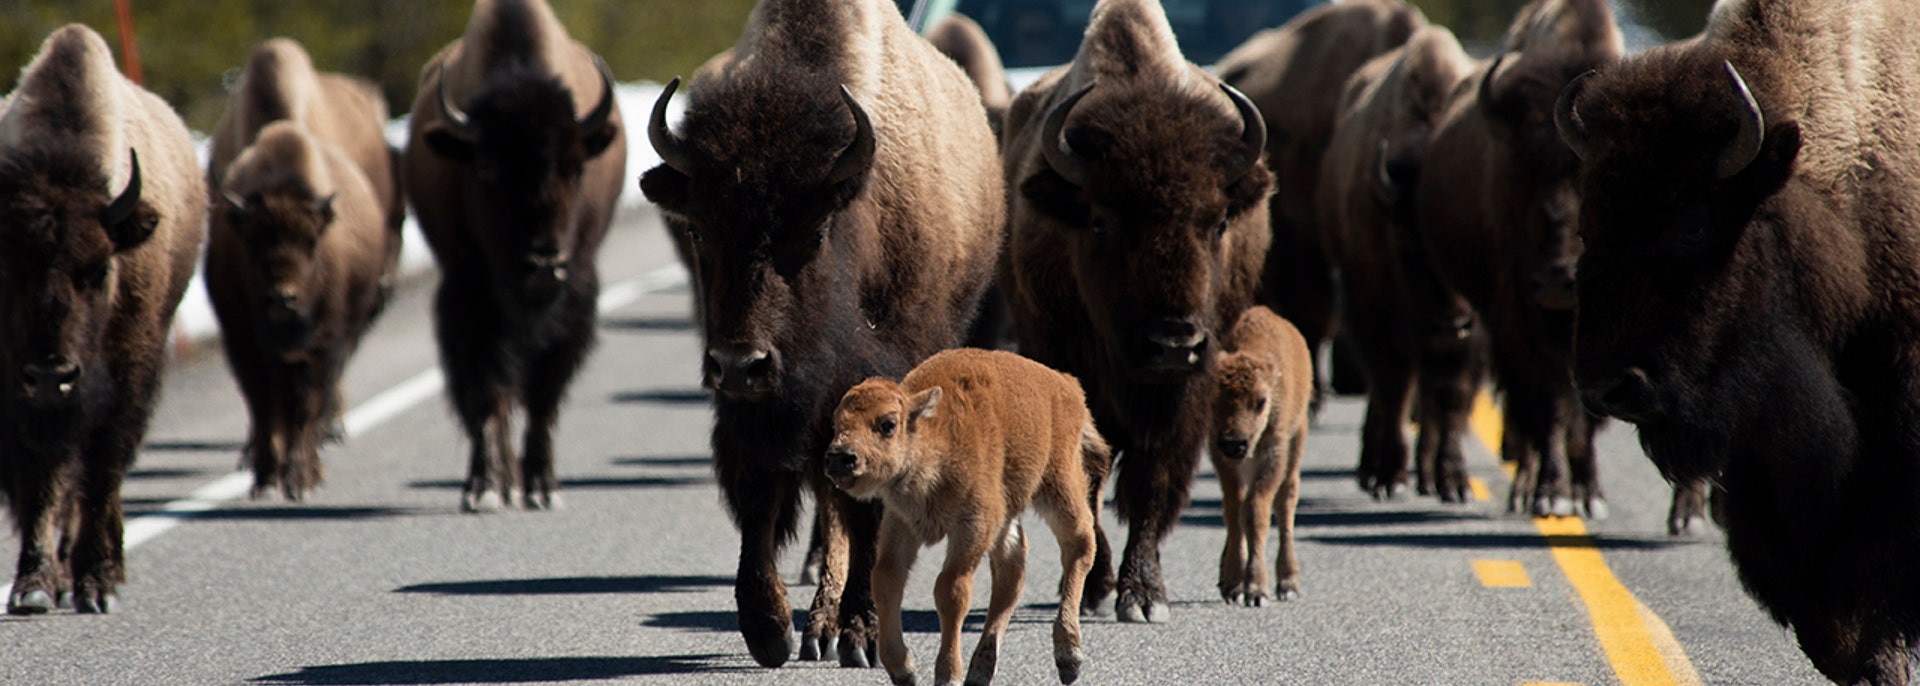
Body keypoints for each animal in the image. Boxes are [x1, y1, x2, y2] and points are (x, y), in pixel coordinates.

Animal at [0, 25, 207, 614]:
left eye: (99, 268)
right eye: (6, 265)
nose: (51, 376)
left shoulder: (127, 371)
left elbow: (100, 466)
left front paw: (98, 583)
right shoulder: (17, 394)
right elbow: (41, 479)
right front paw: (34, 586)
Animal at [403, 0, 626, 512]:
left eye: (575, 167)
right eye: (486, 170)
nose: (543, 265)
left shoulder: (576, 296)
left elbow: (543, 394)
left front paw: (544, 488)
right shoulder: (468, 293)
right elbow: (486, 392)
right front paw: (483, 488)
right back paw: (500, 481)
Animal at [639, 0, 1003, 669]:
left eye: (812, 231)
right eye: (699, 229)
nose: (741, 363)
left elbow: (866, 510)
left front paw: (860, 632)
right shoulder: (755, 410)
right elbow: (760, 492)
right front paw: (768, 629)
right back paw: (818, 625)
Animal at [1003, 0, 1271, 622]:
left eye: (1218, 222)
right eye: (1102, 221)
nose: (1172, 343)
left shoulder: (1185, 395)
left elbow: (1153, 480)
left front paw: (1144, 596)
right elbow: (1090, 480)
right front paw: (1099, 588)